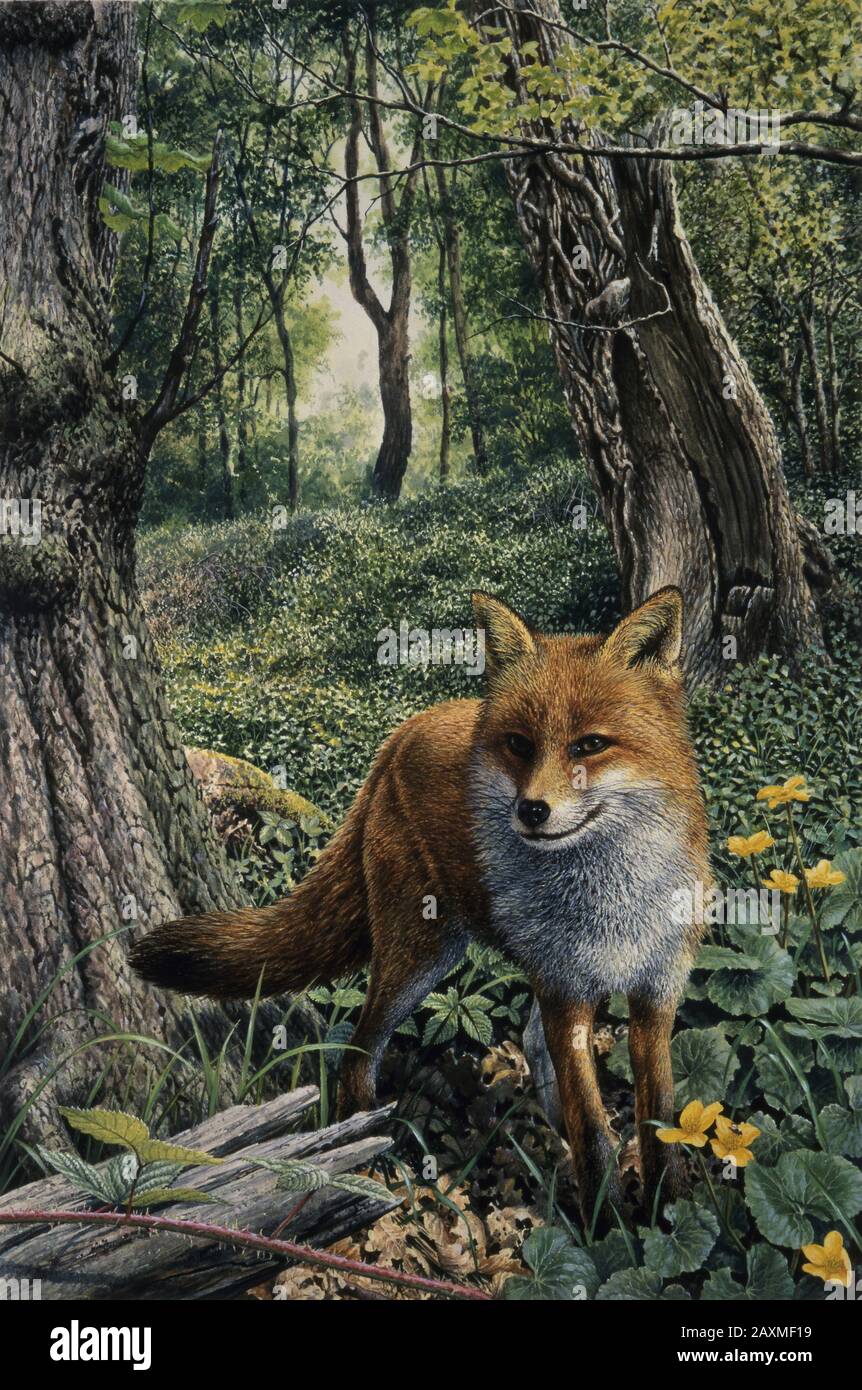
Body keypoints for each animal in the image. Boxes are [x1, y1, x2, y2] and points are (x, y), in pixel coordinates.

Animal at [131, 587, 710, 1220]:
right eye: (520, 745)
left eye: (591, 745)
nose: (530, 811)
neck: (617, 897)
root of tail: (403, 733)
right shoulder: (568, 991)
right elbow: (593, 1135)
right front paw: (607, 1228)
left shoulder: (655, 994)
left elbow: (659, 1124)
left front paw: (669, 1214)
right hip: (421, 953)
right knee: (358, 1053)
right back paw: (365, 1154)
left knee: (530, 1044)